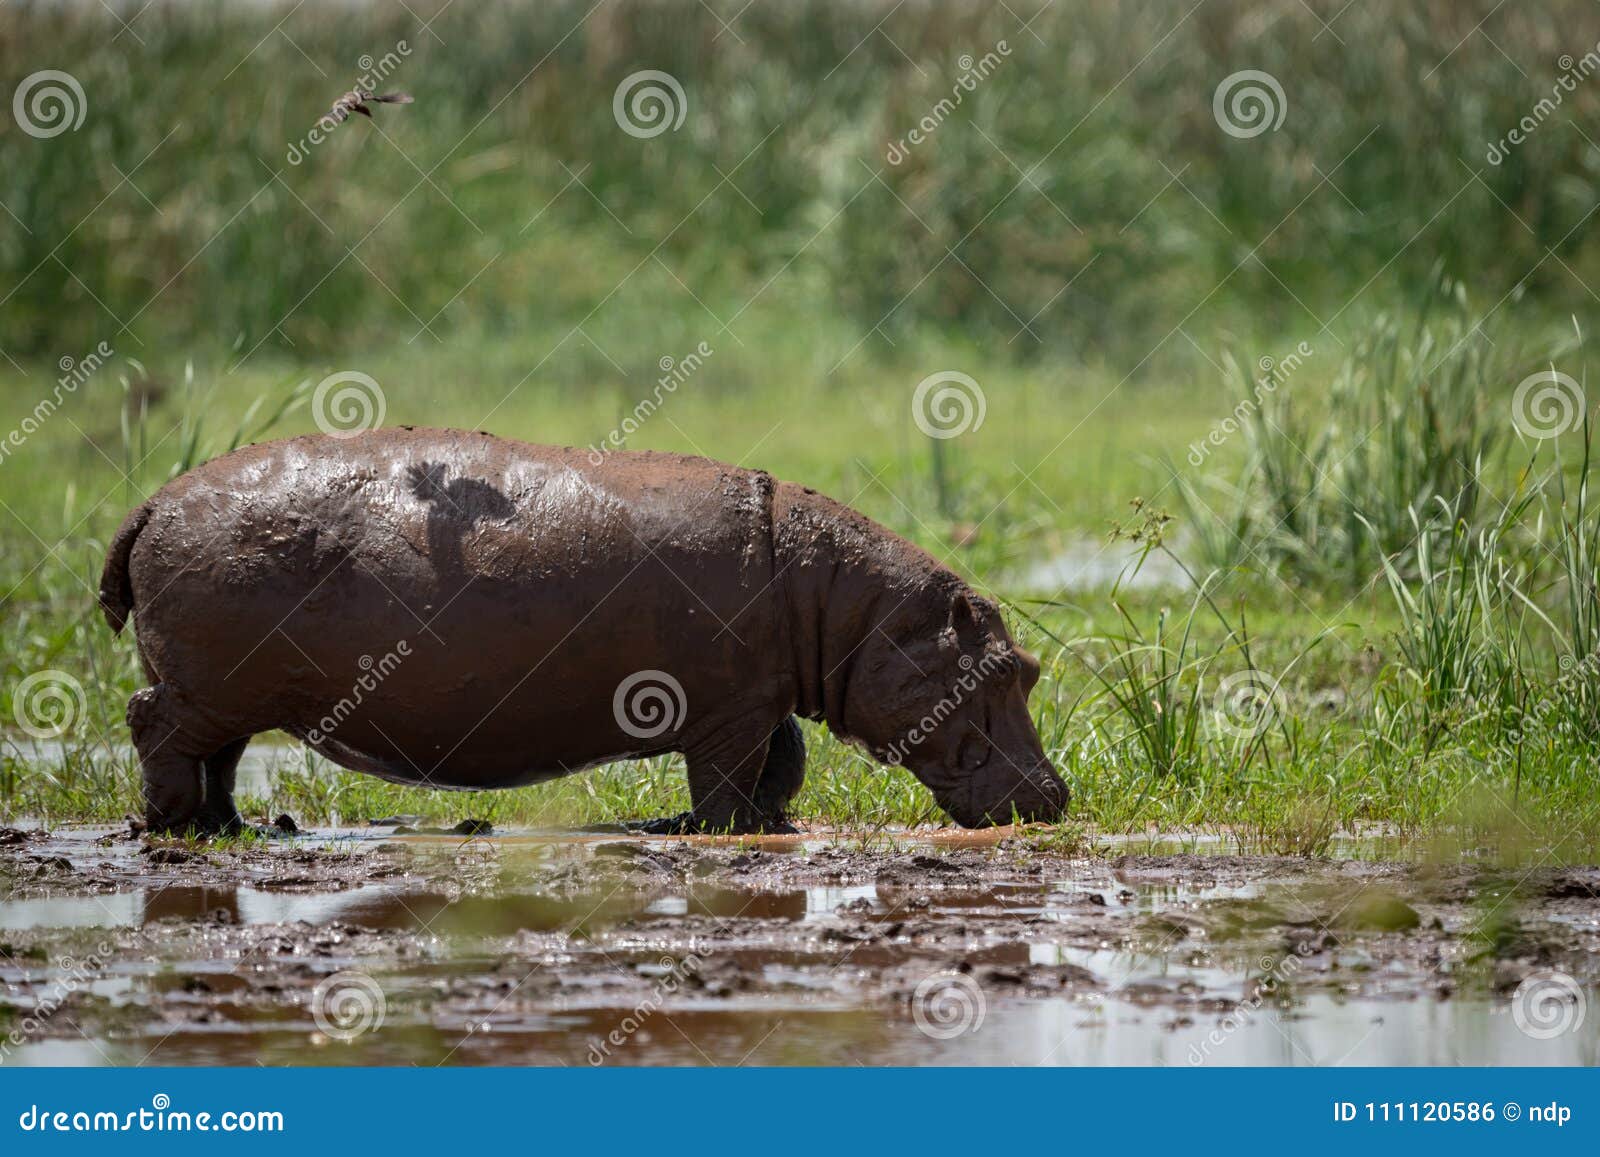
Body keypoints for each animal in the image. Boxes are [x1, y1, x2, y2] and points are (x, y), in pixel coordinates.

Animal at [98, 428, 1068, 835]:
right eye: (1008, 669)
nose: (1057, 794)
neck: (851, 609)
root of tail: (148, 504)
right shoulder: (731, 709)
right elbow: (731, 775)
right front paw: (724, 829)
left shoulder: (759, 694)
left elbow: (781, 760)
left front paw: (769, 820)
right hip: (208, 686)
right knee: (155, 726)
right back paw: (179, 824)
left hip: (228, 691)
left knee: (217, 755)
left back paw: (237, 827)